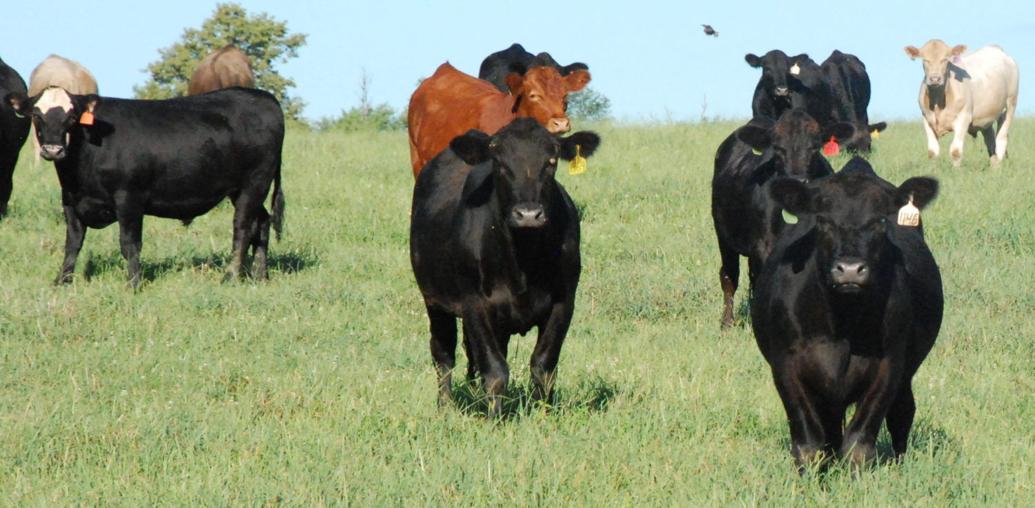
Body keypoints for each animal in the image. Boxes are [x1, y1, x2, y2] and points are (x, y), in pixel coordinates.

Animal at [4, 87, 284, 288]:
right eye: (37, 116)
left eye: (71, 117)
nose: (53, 150)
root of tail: (265, 96)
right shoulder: (71, 201)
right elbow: (73, 242)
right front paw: (62, 281)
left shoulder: (129, 198)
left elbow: (129, 243)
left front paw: (133, 284)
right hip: (243, 190)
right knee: (262, 223)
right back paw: (260, 276)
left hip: (254, 183)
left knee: (243, 229)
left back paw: (230, 276)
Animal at [410, 118, 600, 418]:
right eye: (499, 163)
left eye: (551, 161)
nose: (528, 214)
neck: (523, 261)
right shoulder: (474, 303)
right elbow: (495, 370)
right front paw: (495, 419)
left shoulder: (564, 301)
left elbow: (544, 366)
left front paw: (544, 414)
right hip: (433, 301)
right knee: (443, 354)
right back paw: (445, 407)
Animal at [711, 109, 854, 327]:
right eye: (778, 148)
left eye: (815, 147)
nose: (796, 181)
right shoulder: (765, 244)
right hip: (724, 236)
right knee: (729, 276)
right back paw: (727, 322)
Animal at [750, 157, 942, 468]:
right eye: (823, 220)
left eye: (880, 220)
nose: (850, 269)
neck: (842, 323)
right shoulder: (786, 365)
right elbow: (809, 443)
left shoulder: (889, 366)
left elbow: (859, 443)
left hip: (906, 374)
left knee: (902, 412)